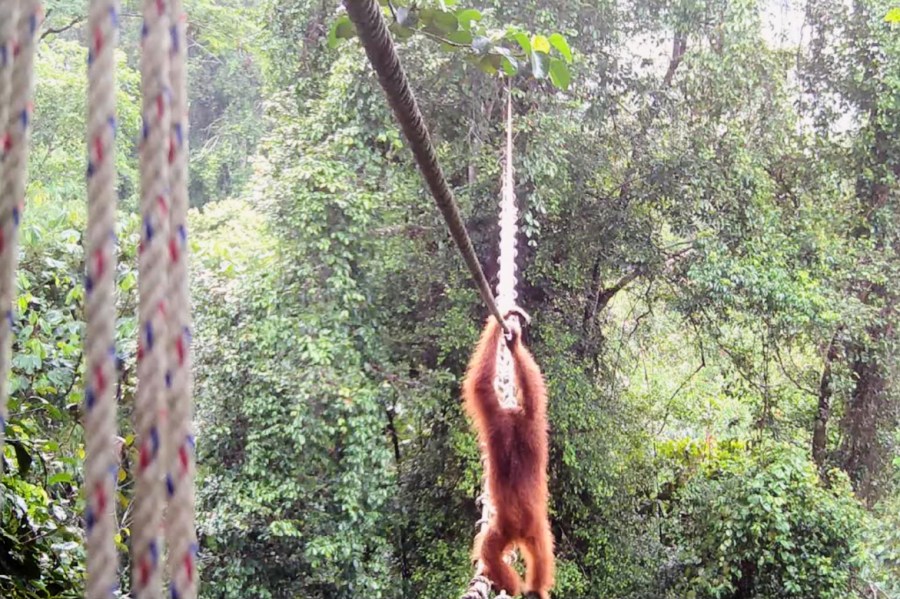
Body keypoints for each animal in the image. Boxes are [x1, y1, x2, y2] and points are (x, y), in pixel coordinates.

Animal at [463, 311, 554, 599]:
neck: (513, 426)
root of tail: (517, 529)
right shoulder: (525, 423)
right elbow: (533, 398)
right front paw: (512, 339)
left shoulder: (504, 419)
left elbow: (482, 386)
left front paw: (512, 340)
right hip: (523, 528)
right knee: (528, 554)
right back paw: (524, 587)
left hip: (515, 528)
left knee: (494, 551)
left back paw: (518, 586)